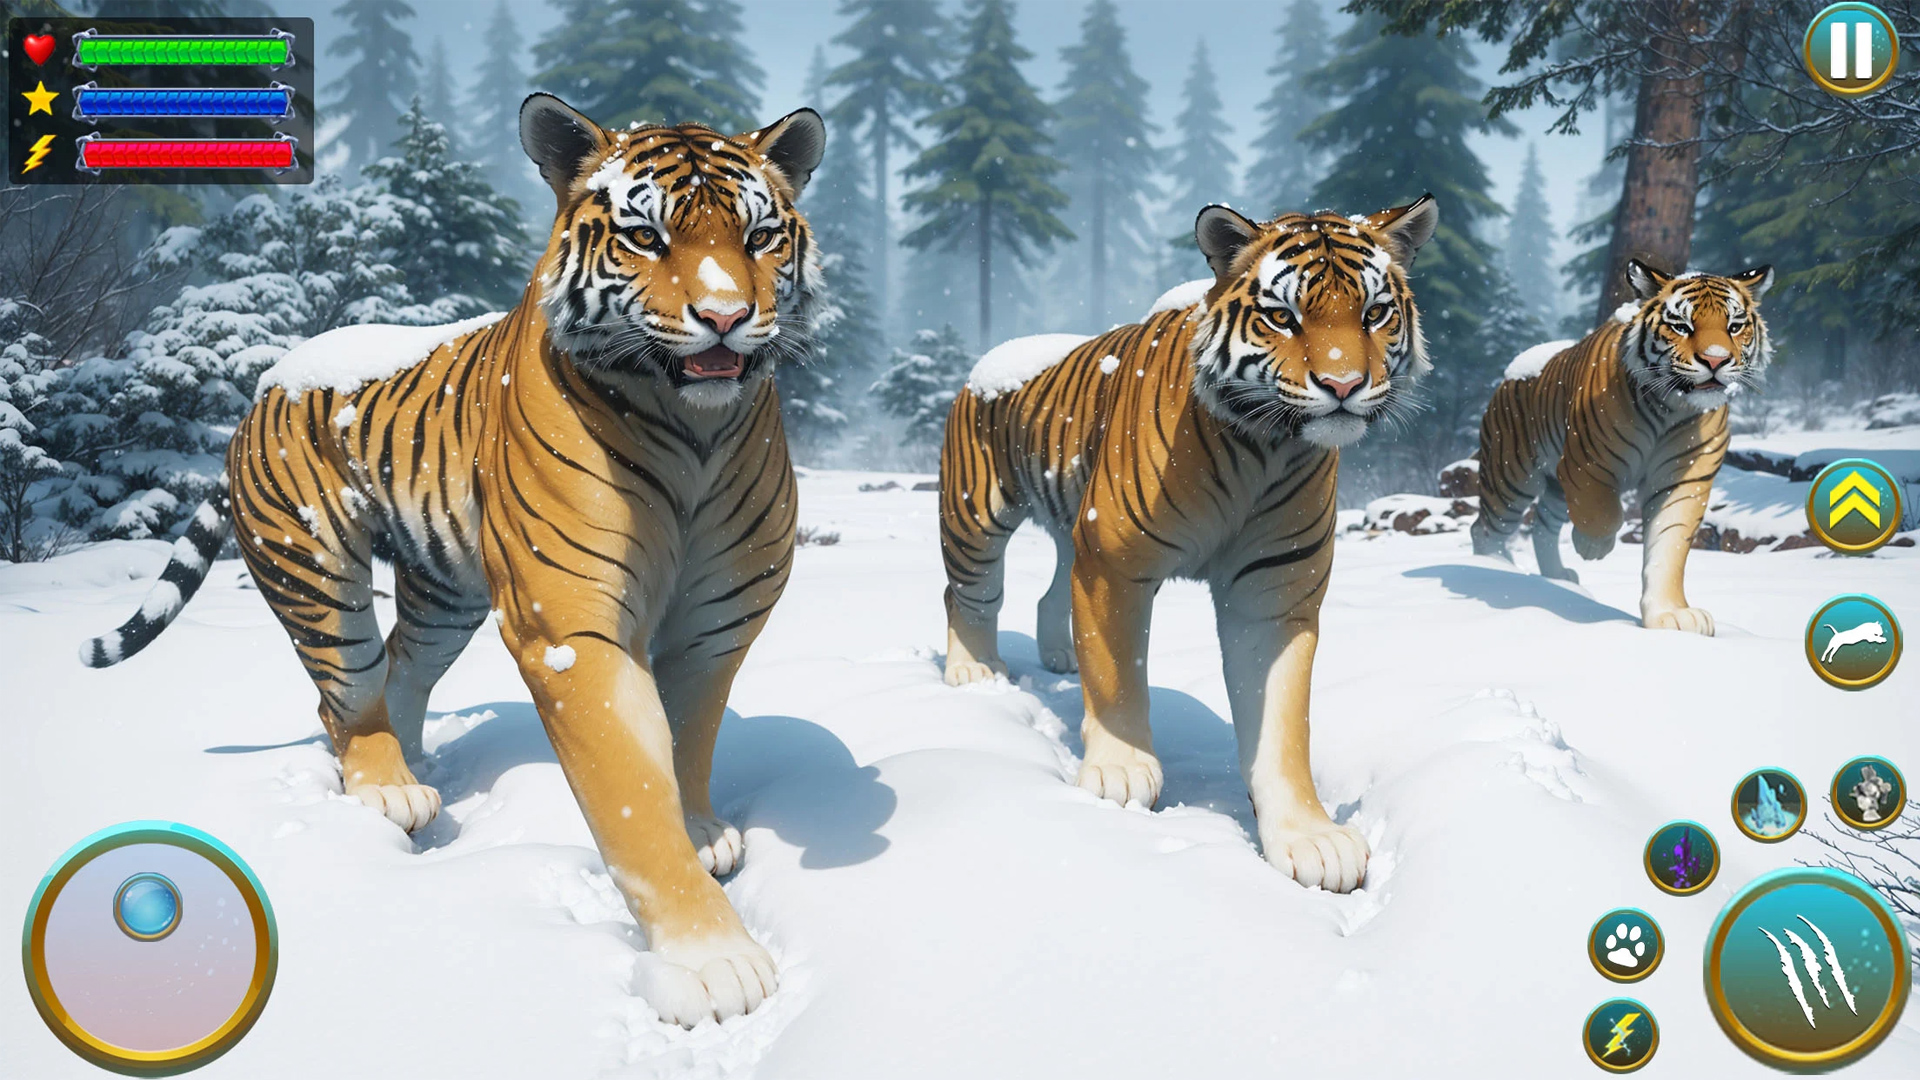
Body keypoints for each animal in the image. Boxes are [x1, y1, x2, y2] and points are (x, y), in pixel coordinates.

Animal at [79, 92, 827, 1026]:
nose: (725, 316)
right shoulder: (568, 630)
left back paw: (415, 770)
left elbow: (687, 741)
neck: (698, 426)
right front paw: (710, 960)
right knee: (343, 688)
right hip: (314, 568)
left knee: (398, 669)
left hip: (444, 596)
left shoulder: (718, 621)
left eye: (759, 237)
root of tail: (267, 380)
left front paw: (704, 832)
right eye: (646, 236)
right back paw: (386, 789)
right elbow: (632, 790)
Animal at [939, 196, 1439, 895]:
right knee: (969, 594)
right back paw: (973, 674)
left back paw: (1059, 658)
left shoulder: (1272, 592)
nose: (1342, 384)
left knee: (1048, 593)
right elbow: (1117, 678)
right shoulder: (1113, 564)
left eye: (1373, 313)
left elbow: (1281, 724)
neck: (1266, 446)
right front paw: (1120, 773)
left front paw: (1309, 839)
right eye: (1282, 317)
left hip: (1070, 525)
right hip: (975, 516)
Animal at [1471, 260, 1774, 636]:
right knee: (1486, 528)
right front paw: (1592, 546)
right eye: (1682, 326)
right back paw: (1498, 570)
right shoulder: (1587, 466)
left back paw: (1558, 578)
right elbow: (1604, 515)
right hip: (1512, 476)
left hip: (1553, 485)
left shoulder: (1683, 481)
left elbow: (1668, 547)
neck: (1673, 407)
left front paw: (1671, 616)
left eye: (1735, 326)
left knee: (1542, 523)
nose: (1716, 360)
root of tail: (1510, 373)